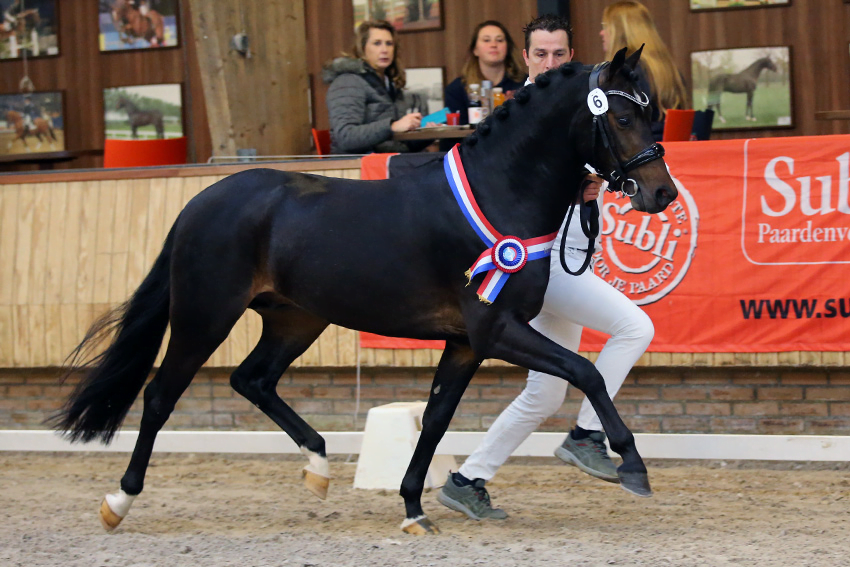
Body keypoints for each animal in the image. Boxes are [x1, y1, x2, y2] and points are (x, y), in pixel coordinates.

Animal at [52, 47, 677, 536]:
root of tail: (198, 204)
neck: (499, 190)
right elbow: (587, 371)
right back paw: (119, 501)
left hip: (296, 318)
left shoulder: (465, 343)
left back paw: (318, 467)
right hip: (205, 315)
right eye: (623, 116)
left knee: (252, 379)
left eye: (655, 115)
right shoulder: (494, 330)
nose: (663, 194)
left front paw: (414, 507)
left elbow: (437, 417)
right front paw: (631, 464)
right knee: (161, 395)